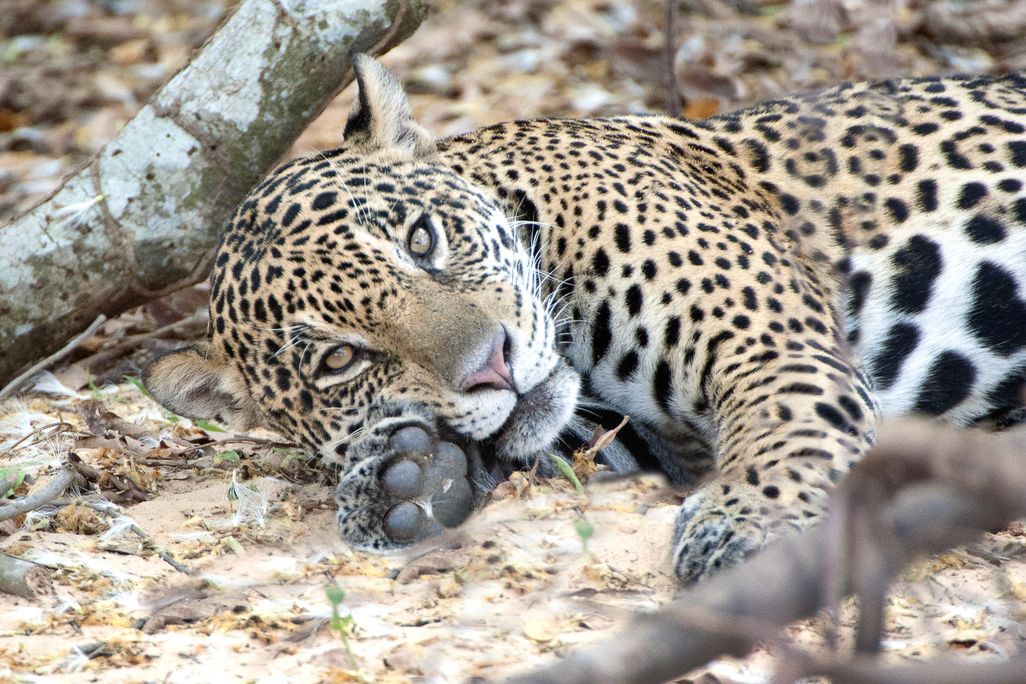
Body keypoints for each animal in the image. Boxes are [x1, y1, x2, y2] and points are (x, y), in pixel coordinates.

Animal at [144, 55, 1026, 584]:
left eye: (421, 240)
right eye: (339, 361)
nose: (492, 364)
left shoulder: (765, 340)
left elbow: (790, 424)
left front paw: (748, 522)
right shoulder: (641, 436)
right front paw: (414, 478)